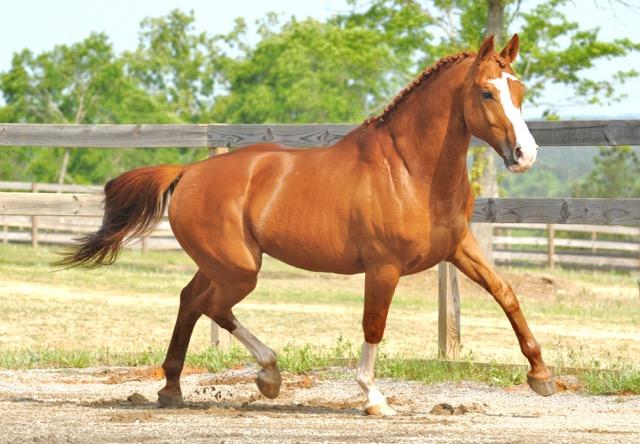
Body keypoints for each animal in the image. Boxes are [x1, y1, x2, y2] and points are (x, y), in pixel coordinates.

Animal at [59, 34, 554, 416]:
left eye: (519, 90)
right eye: (486, 93)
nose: (525, 155)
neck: (410, 169)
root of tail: (189, 172)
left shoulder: (458, 249)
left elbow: (505, 294)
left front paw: (541, 375)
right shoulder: (384, 267)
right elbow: (373, 325)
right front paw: (373, 398)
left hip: (221, 264)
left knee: (190, 301)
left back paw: (173, 388)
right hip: (240, 269)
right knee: (211, 306)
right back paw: (268, 375)